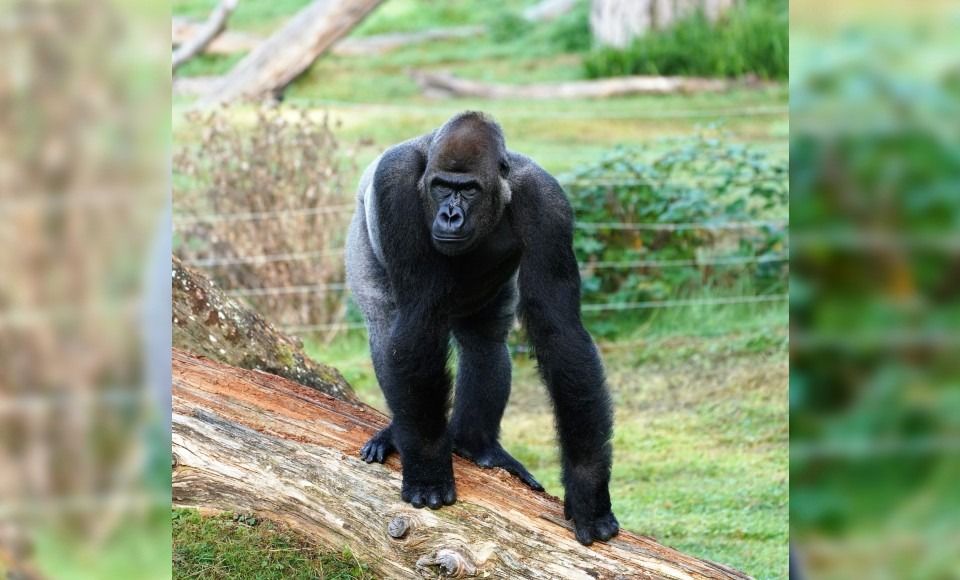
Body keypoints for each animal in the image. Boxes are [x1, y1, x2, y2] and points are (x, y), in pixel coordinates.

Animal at [345, 111, 618, 545]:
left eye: (469, 190)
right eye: (442, 187)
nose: (450, 215)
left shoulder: (547, 202)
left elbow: (559, 332)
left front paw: (588, 489)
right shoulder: (394, 184)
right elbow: (417, 322)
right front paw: (427, 469)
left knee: (485, 342)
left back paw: (477, 446)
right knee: (386, 326)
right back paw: (397, 434)